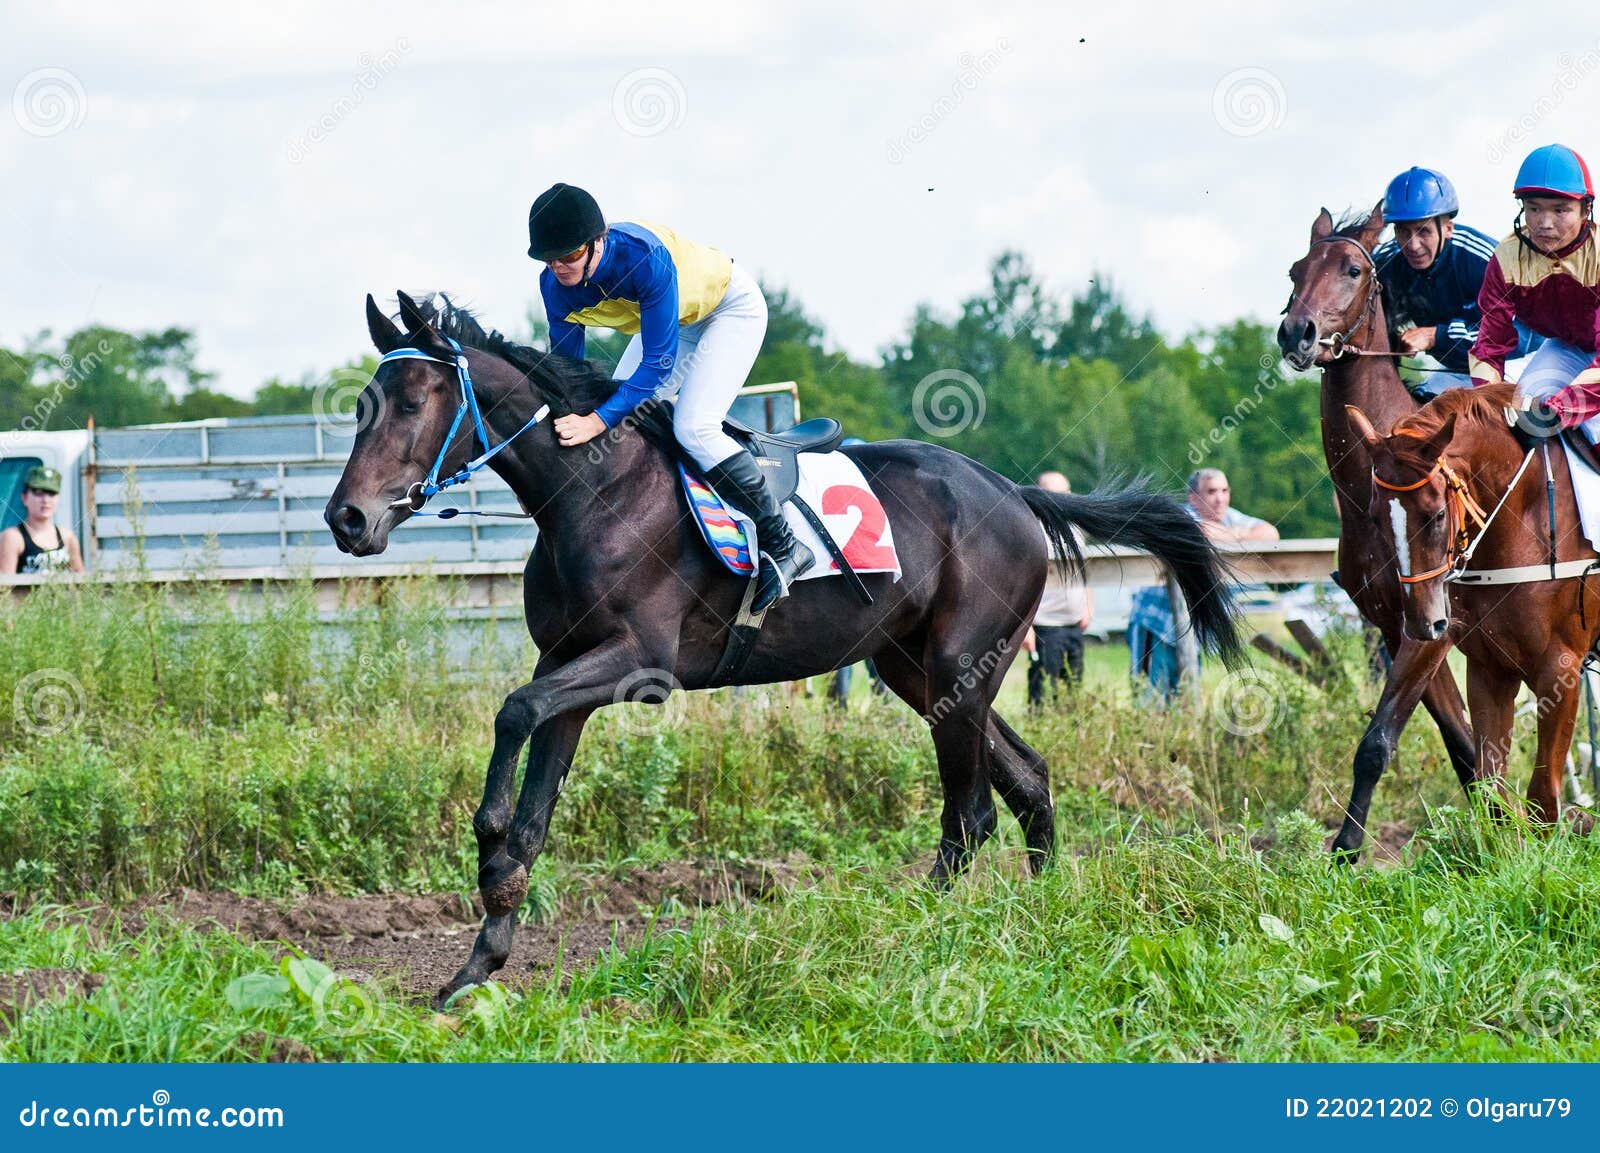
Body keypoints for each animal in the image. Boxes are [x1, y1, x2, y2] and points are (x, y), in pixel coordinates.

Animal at [326, 290, 1244, 1003]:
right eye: (364, 403)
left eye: (411, 403)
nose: (347, 518)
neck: (593, 490)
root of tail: (1015, 491)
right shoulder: (568, 666)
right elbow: (533, 802)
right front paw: (477, 961)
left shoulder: (637, 665)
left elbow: (512, 715)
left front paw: (483, 844)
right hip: (917, 669)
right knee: (1027, 778)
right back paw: (1040, 913)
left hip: (958, 665)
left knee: (973, 810)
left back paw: (921, 927)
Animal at [1277, 204, 1481, 857]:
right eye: (1296, 269)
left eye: (1353, 268)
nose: (1298, 332)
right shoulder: (1402, 625)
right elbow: (1463, 746)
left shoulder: (1435, 628)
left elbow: (1376, 743)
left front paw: (1346, 847)